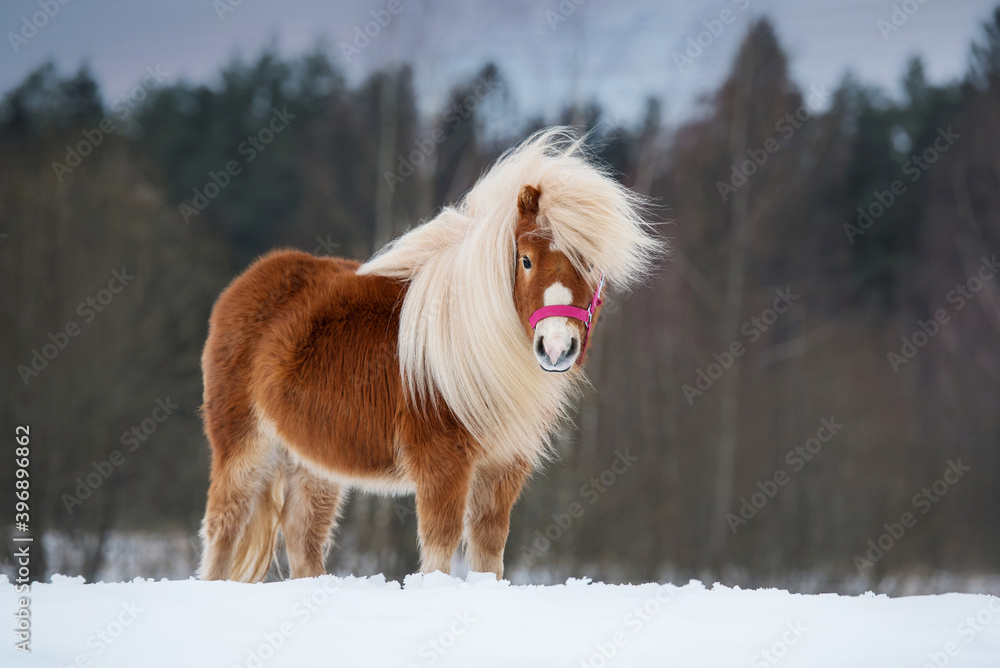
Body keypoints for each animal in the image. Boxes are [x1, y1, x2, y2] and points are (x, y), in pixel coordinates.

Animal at [197, 128, 660, 582]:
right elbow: (441, 545)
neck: (472, 341)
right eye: (526, 260)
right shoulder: (442, 462)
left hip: (312, 462)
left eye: (591, 264)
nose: (557, 347)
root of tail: (248, 282)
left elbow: (489, 548)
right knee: (225, 526)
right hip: (245, 445)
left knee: (302, 535)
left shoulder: (504, 465)